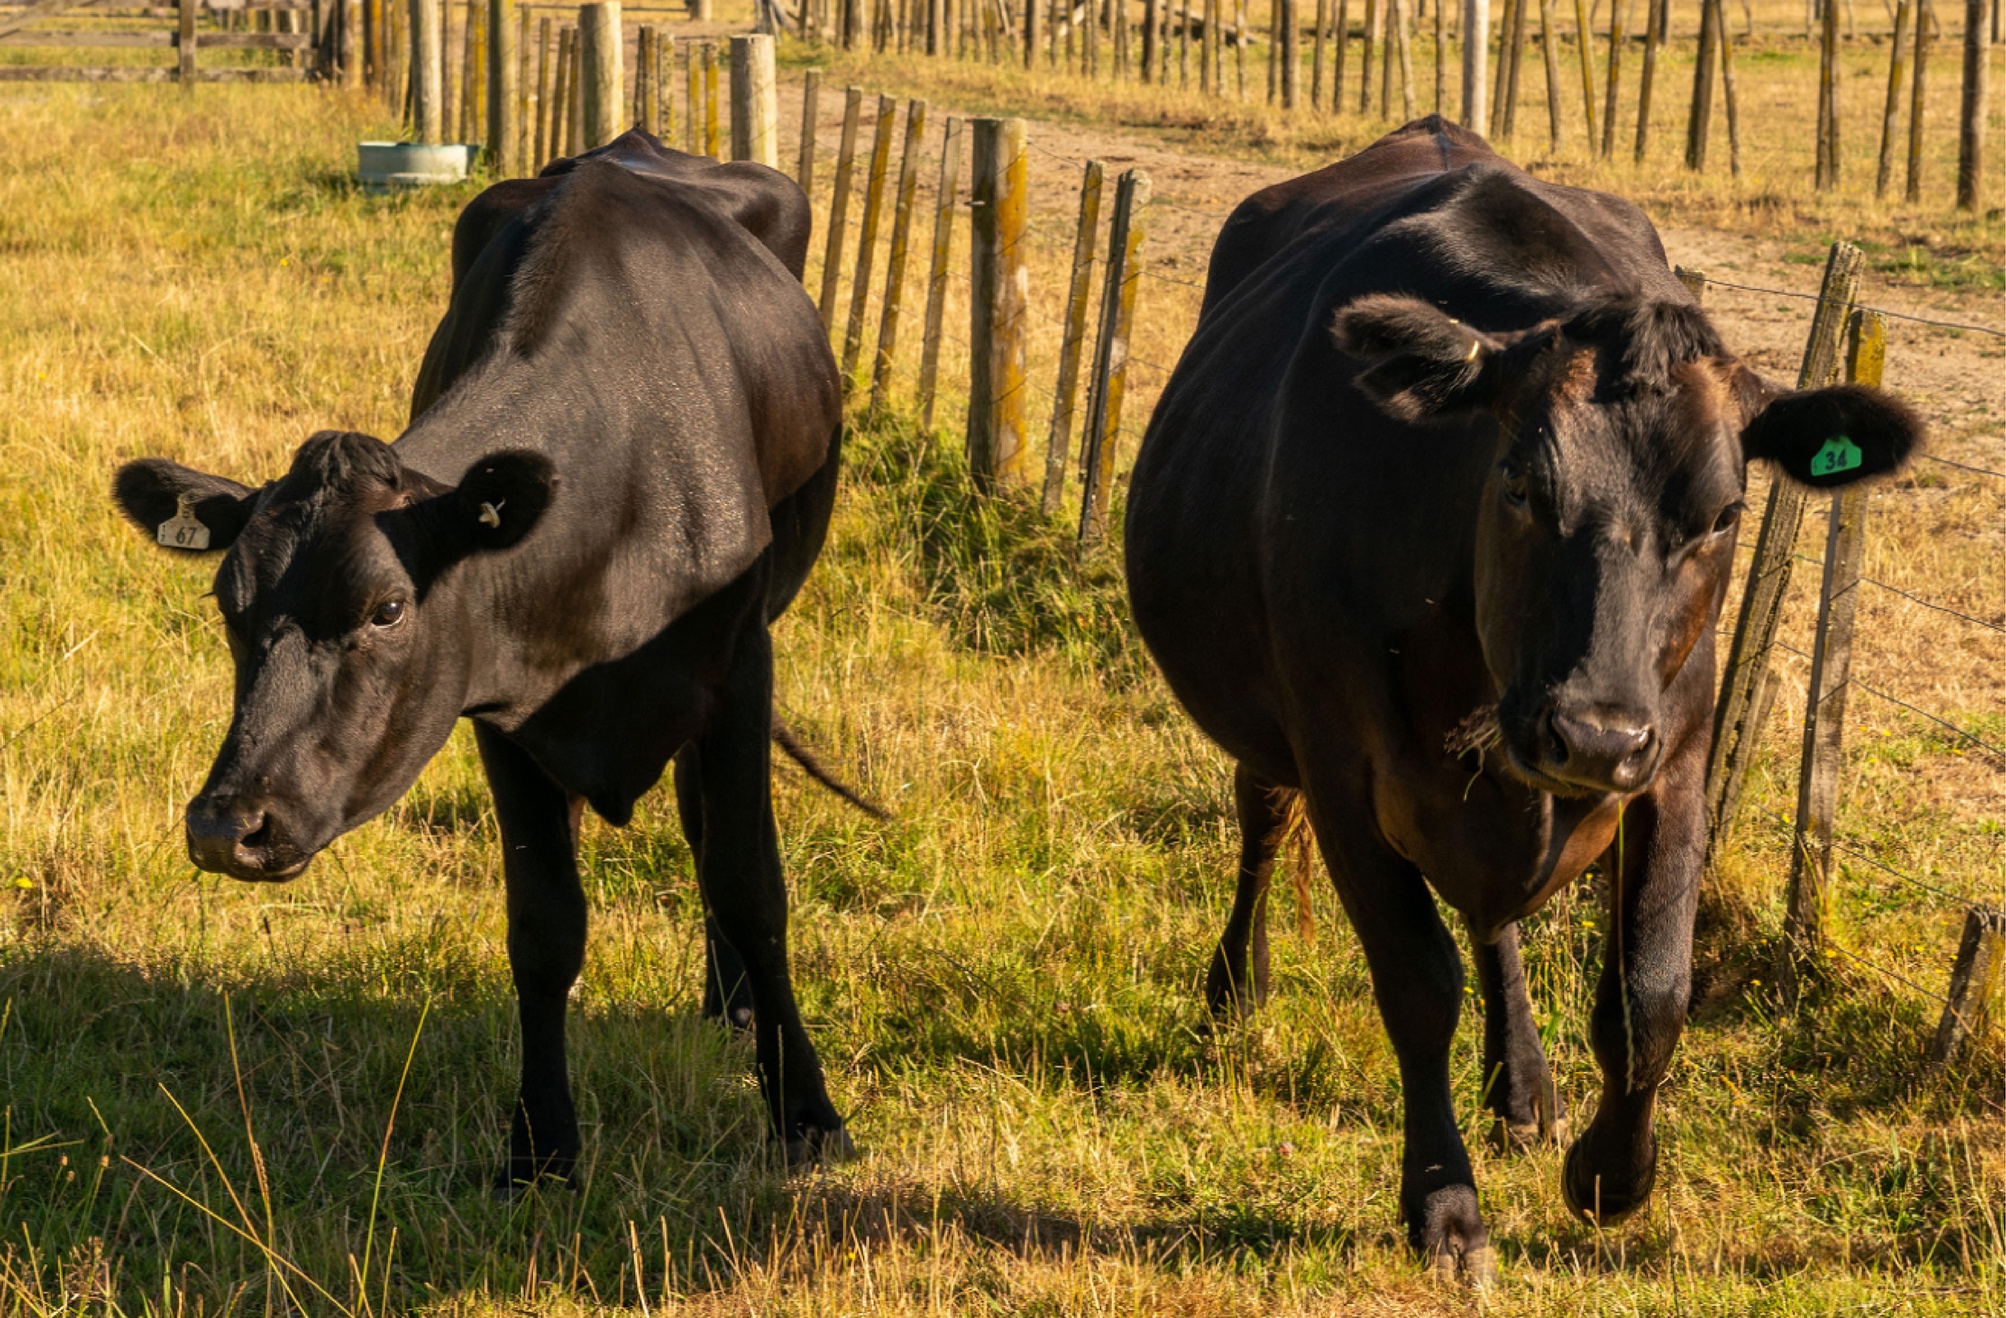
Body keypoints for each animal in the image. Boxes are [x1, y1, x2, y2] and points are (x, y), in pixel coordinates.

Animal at [110, 131, 855, 1184]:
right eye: (228, 604)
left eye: (387, 608)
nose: (225, 827)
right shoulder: (504, 708)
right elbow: (543, 925)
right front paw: (541, 1148)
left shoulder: (738, 670)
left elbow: (751, 884)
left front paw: (806, 1115)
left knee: (709, 829)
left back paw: (736, 1002)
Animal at [1125, 117, 1922, 1283]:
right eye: (1517, 483)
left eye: (1725, 512)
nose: (1589, 733)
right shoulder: (1342, 762)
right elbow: (1417, 981)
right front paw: (1445, 1208)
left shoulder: (1675, 753)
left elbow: (1651, 988)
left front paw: (1612, 1173)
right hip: (1277, 729)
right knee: (1262, 820)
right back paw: (1237, 990)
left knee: (1490, 910)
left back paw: (1524, 1084)